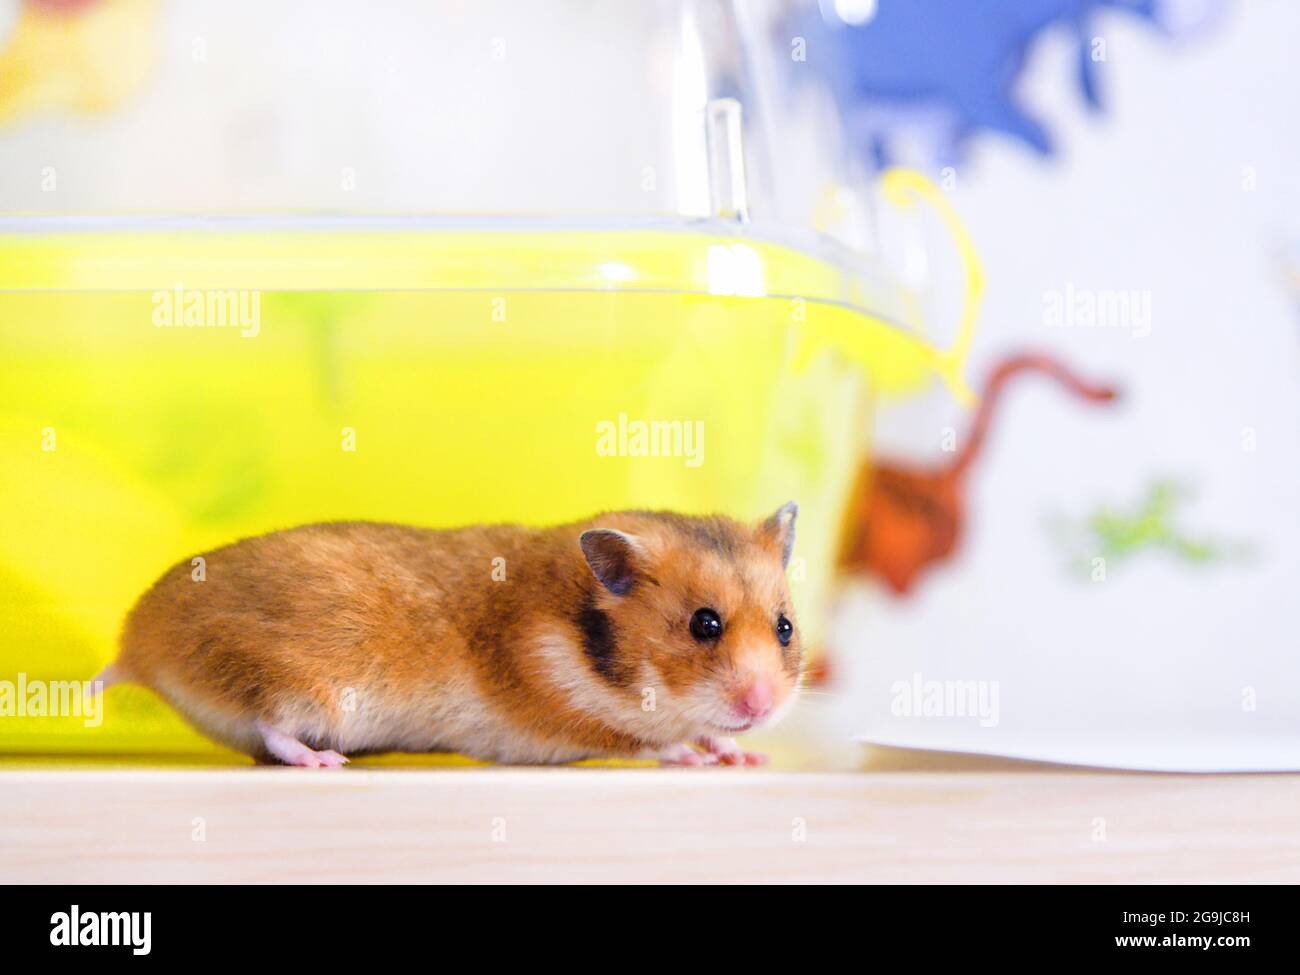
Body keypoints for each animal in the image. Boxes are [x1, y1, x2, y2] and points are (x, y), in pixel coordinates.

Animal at [100, 503, 803, 767]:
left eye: (786, 627)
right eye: (703, 624)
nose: (763, 708)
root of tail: (138, 643)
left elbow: (699, 730)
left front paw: (741, 754)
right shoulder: (566, 716)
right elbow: (645, 743)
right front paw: (698, 755)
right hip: (303, 684)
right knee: (273, 727)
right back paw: (324, 761)